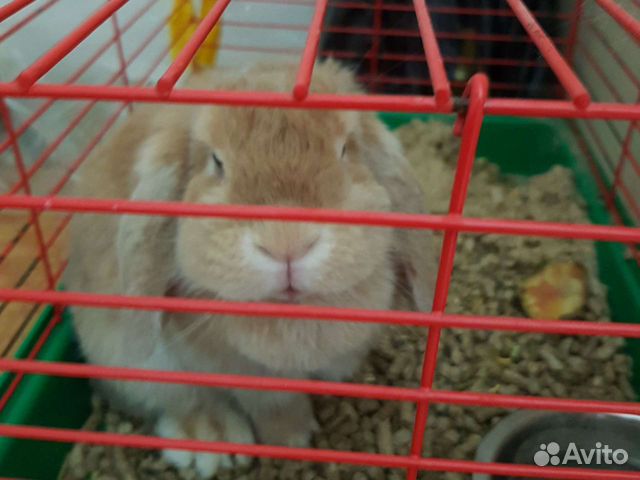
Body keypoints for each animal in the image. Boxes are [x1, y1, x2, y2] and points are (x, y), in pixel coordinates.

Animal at [65, 60, 436, 478]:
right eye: (216, 162)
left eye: (345, 150)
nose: (286, 243)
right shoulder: (245, 376)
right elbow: (275, 405)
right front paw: (292, 440)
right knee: (179, 402)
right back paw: (212, 442)